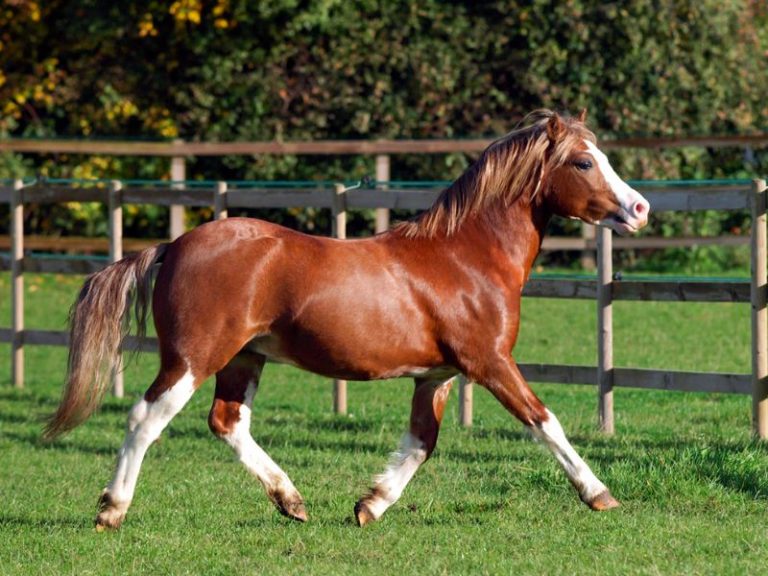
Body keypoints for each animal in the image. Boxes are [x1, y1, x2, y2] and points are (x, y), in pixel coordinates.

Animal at [44, 110, 650, 530]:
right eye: (584, 162)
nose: (640, 209)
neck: (464, 257)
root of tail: (175, 245)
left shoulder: (436, 375)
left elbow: (421, 442)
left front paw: (369, 506)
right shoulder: (490, 362)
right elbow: (544, 421)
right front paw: (600, 494)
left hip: (244, 357)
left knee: (227, 422)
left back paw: (291, 501)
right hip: (194, 357)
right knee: (145, 418)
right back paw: (111, 510)